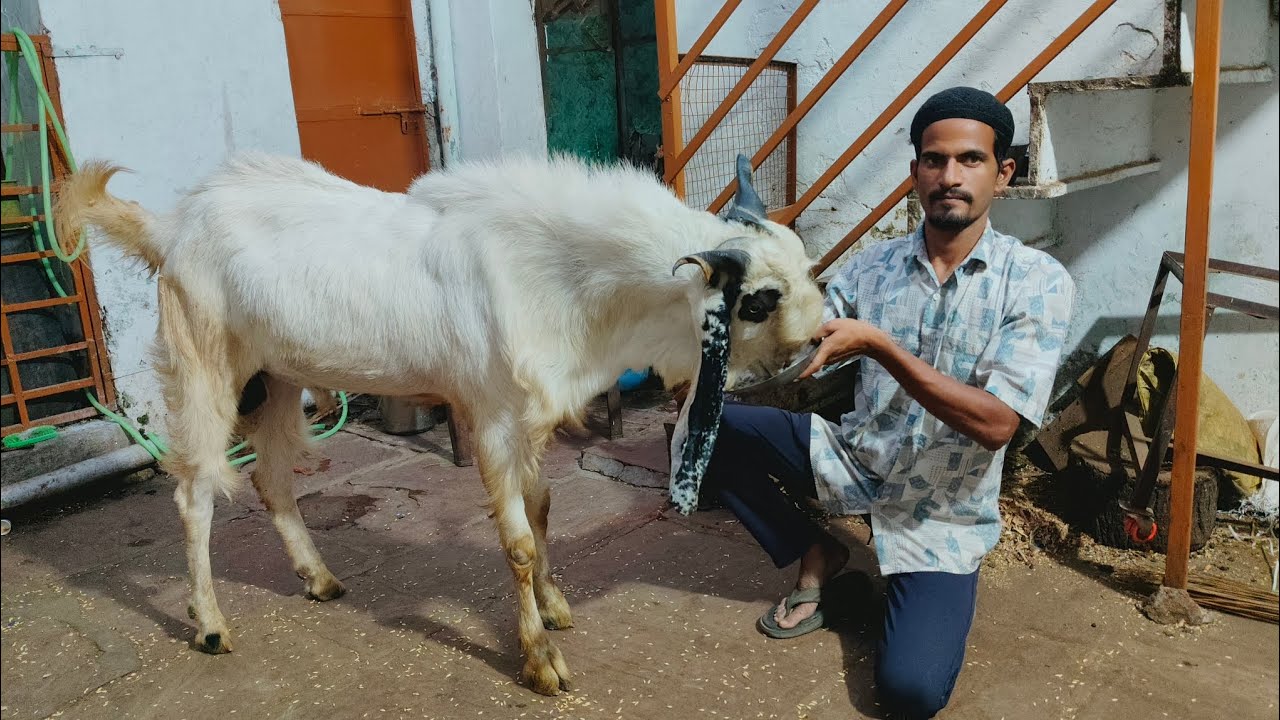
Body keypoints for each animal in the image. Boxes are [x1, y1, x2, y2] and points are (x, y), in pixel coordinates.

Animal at [54, 152, 824, 695]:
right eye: (758, 299)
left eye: (807, 265)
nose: (816, 343)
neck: (566, 277)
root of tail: (171, 228)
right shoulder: (491, 417)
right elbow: (517, 541)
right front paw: (540, 661)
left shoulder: (529, 417)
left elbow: (543, 508)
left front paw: (554, 607)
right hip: (207, 369)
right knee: (194, 493)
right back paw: (212, 625)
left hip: (279, 378)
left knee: (271, 478)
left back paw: (319, 579)